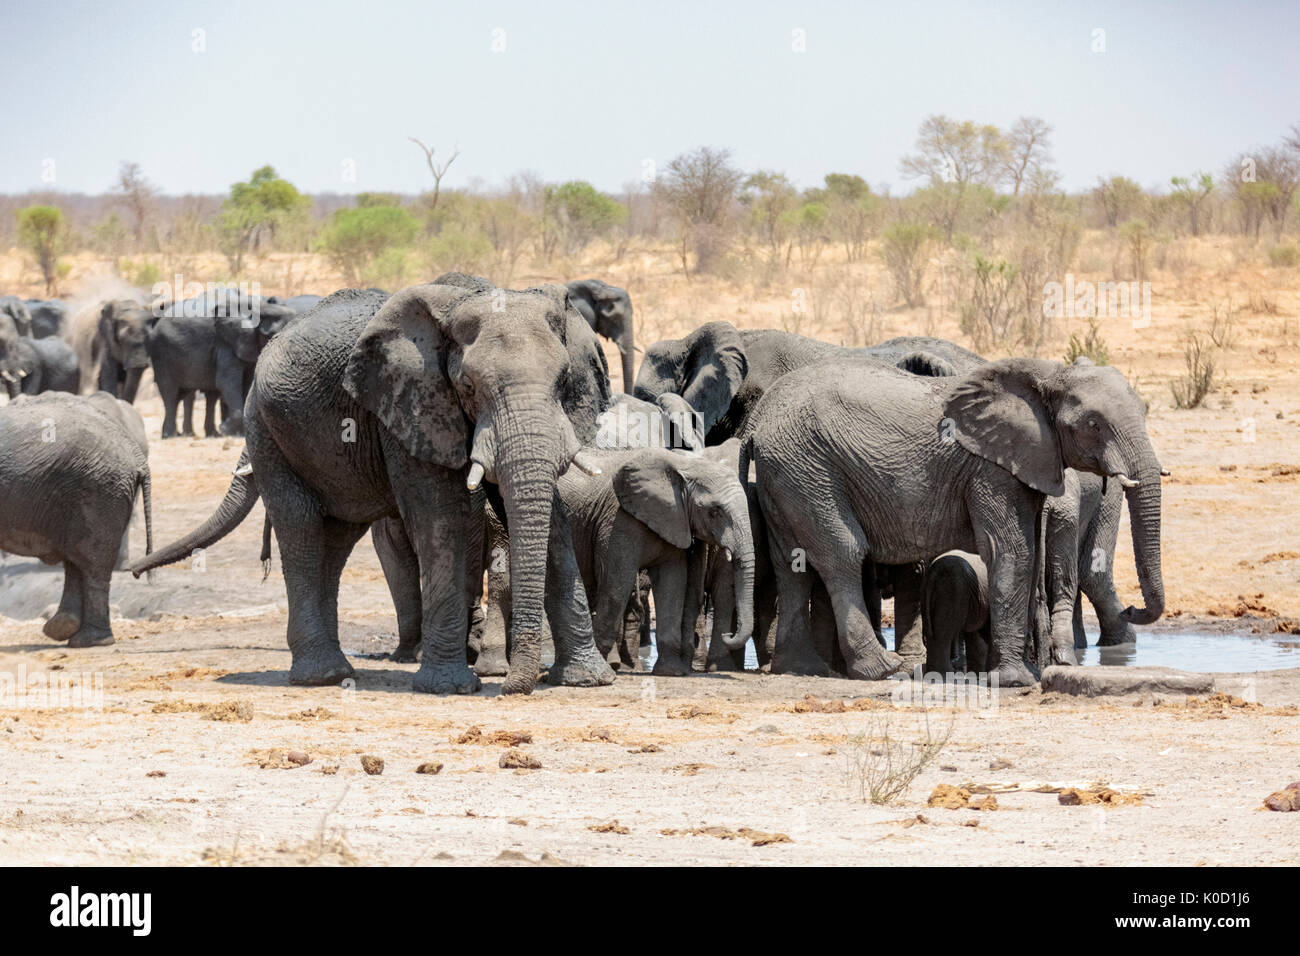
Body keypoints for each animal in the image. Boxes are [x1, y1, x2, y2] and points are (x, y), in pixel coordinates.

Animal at [0, 392, 153, 646]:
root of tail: (136, 454)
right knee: (76, 559)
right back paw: (63, 628)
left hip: (100, 490)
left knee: (91, 561)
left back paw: (91, 639)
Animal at [146, 290, 296, 437]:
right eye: (273, 336)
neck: (262, 308)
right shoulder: (226, 344)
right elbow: (227, 382)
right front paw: (226, 430)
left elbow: (247, 383)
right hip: (161, 353)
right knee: (170, 393)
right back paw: (171, 435)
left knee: (194, 396)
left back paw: (208, 434)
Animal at [557, 446, 755, 676]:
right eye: (714, 511)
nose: (728, 635)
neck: (683, 465)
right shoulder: (617, 519)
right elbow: (617, 583)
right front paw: (606, 666)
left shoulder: (676, 521)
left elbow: (673, 583)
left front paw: (670, 671)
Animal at [741, 356, 1165, 686]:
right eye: (1094, 424)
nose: (1133, 609)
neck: (1048, 374)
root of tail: (757, 421)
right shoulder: (989, 469)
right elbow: (1013, 553)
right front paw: (1015, 680)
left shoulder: (1026, 462)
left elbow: (1028, 555)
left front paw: (1026, 674)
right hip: (809, 467)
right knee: (842, 554)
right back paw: (882, 670)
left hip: (786, 473)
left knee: (791, 564)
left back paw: (803, 668)